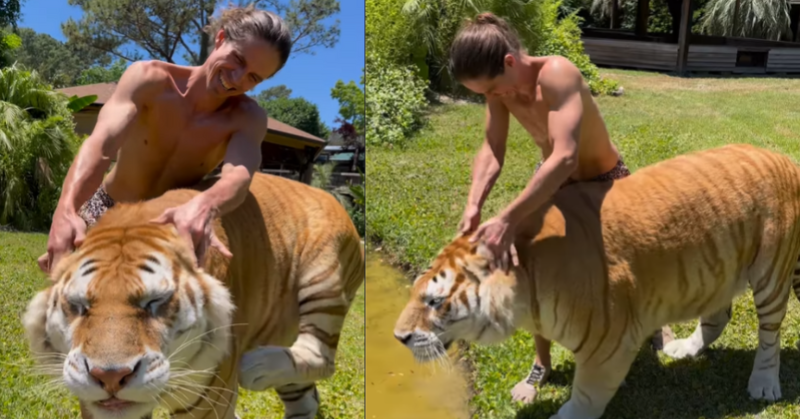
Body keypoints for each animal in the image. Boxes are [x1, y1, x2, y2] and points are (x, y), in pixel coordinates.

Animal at [22, 171, 365, 419]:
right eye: (79, 306)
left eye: (155, 303)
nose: (110, 377)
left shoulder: (206, 398)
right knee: (306, 398)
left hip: (323, 279)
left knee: (322, 357)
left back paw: (256, 367)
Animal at [393, 143, 800, 419]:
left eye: (434, 301)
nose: (398, 337)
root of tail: (786, 160)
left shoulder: (609, 346)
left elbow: (586, 397)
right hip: (716, 274)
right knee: (717, 319)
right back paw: (683, 348)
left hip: (771, 274)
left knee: (770, 334)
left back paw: (763, 385)